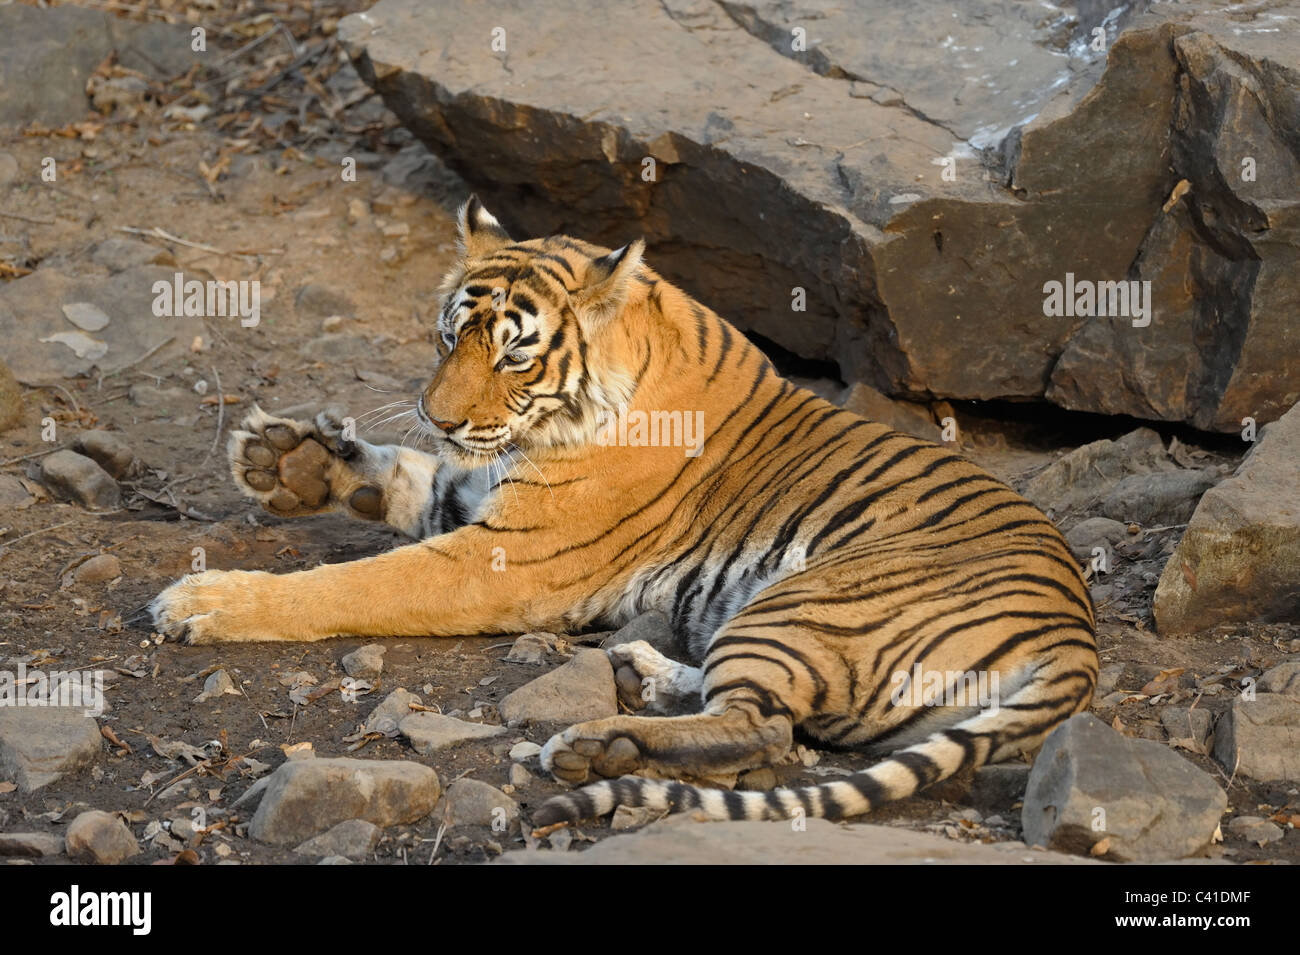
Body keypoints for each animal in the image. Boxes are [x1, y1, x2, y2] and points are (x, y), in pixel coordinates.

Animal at [150, 196, 1097, 826]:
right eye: (451, 335)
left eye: (515, 357)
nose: (441, 416)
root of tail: (1078, 637)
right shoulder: (480, 494)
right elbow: (405, 477)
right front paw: (285, 457)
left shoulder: (507, 558)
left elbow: (350, 583)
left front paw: (204, 599)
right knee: (747, 708)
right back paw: (645, 667)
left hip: (808, 599)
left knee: (765, 732)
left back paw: (599, 745)